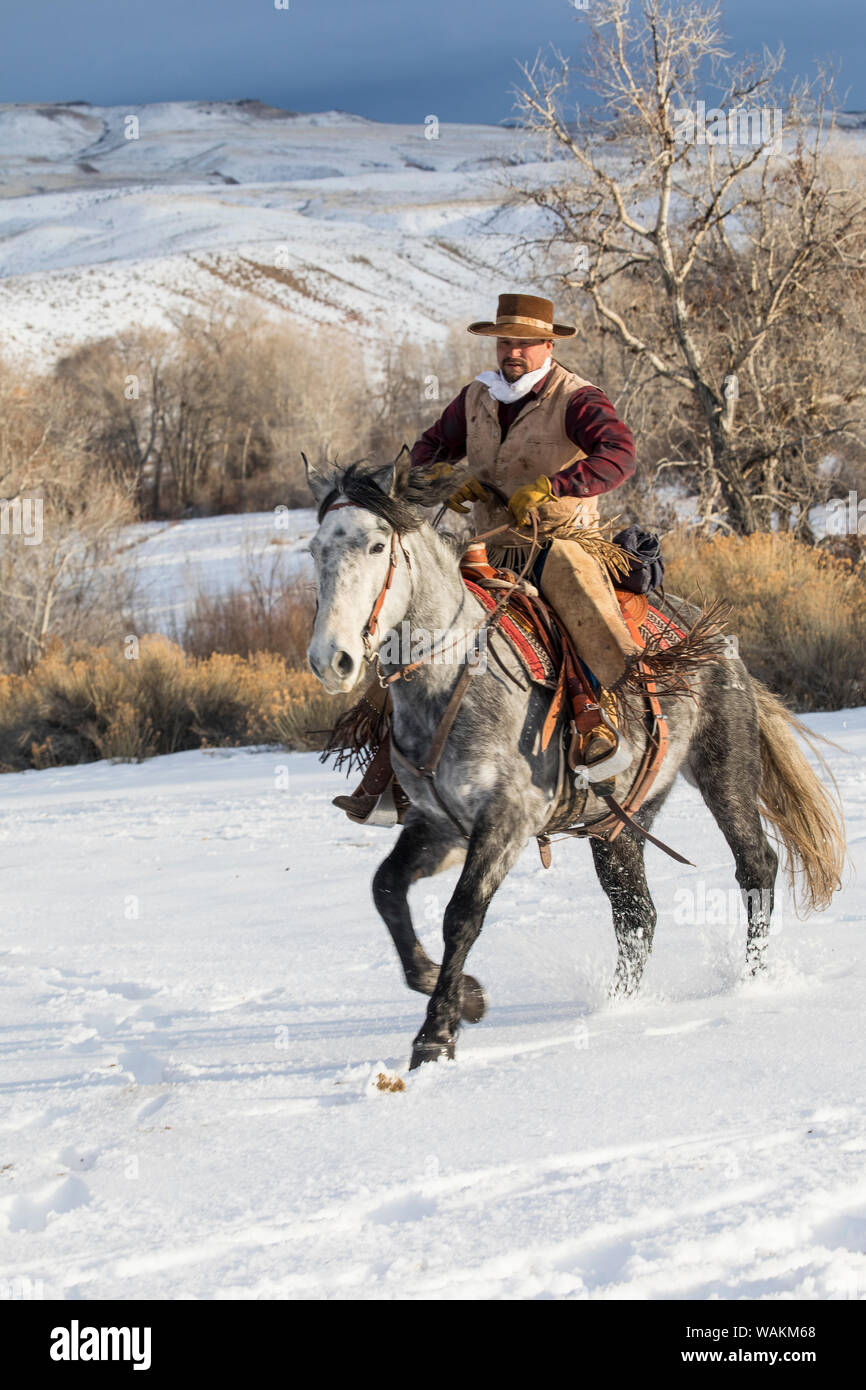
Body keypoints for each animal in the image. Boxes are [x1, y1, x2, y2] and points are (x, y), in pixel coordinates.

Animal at [304, 452, 846, 1070]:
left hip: (724, 774)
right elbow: (387, 891)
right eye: (316, 548)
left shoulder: (506, 821)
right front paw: (468, 997)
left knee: (756, 867)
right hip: (619, 822)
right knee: (637, 913)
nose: (331, 659)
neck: (451, 681)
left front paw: (435, 1036)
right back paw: (619, 1007)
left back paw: (753, 982)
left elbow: (462, 915)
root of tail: (715, 638)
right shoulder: (439, 825)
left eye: (376, 546)